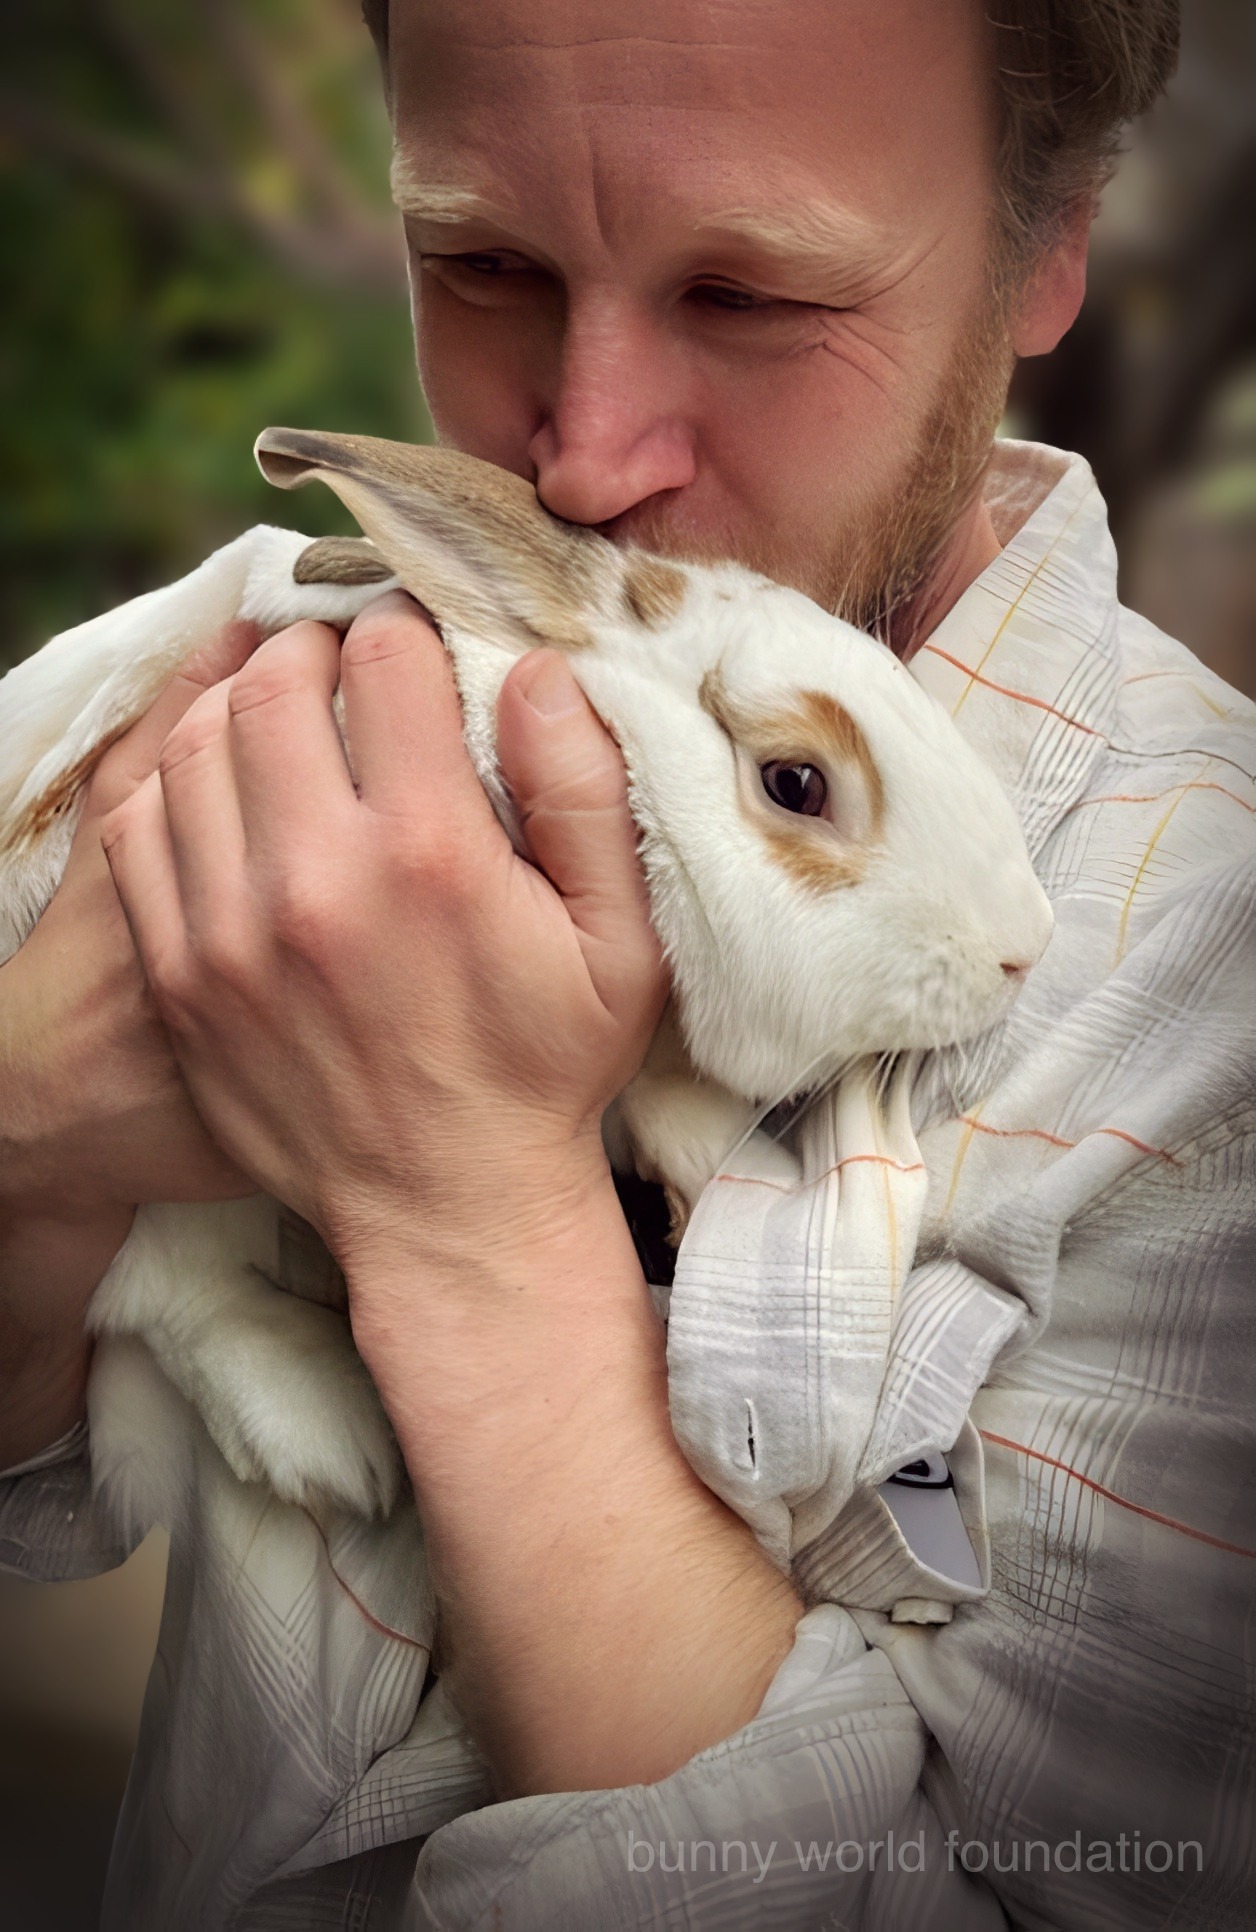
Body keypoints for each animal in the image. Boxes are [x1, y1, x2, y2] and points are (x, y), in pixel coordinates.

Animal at [0, 428, 1053, 1526]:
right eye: (794, 782)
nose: (1023, 948)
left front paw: (716, 1160)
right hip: (178, 1197)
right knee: (171, 1298)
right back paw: (330, 1441)